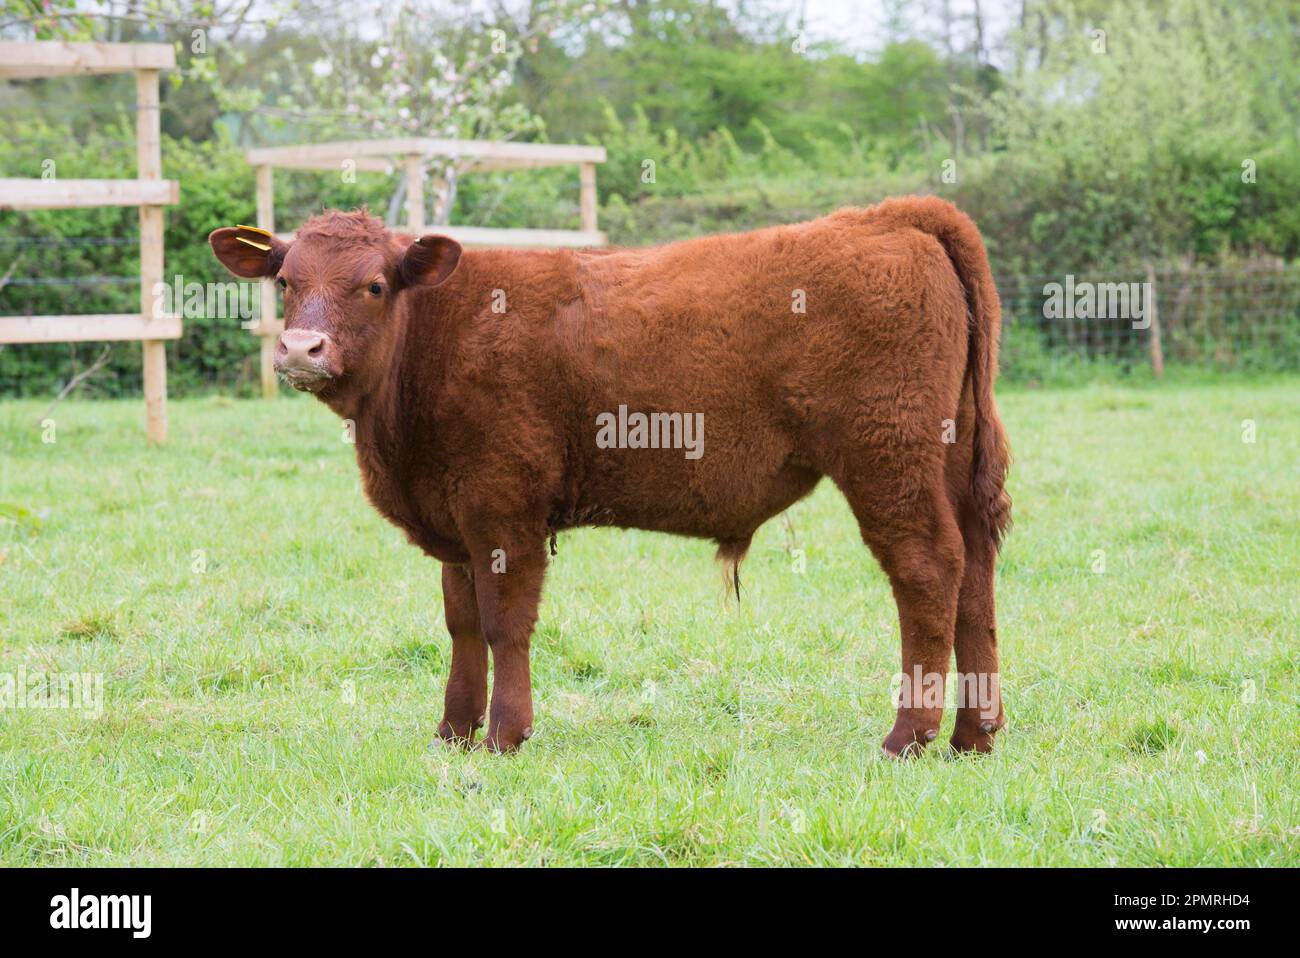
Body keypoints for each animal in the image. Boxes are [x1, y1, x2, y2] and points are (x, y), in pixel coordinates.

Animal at [208, 194, 1008, 753]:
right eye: (286, 281)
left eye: (374, 285)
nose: (301, 349)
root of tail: (890, 215)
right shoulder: (456, 519)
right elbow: (461, 624)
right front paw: (453, 732)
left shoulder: (502, 506)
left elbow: (504, 622)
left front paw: (505, 734)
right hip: (950, 461)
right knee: (975, 576)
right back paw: (974, 734)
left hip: (887, 457)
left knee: (928, 571)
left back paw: (908, 736)